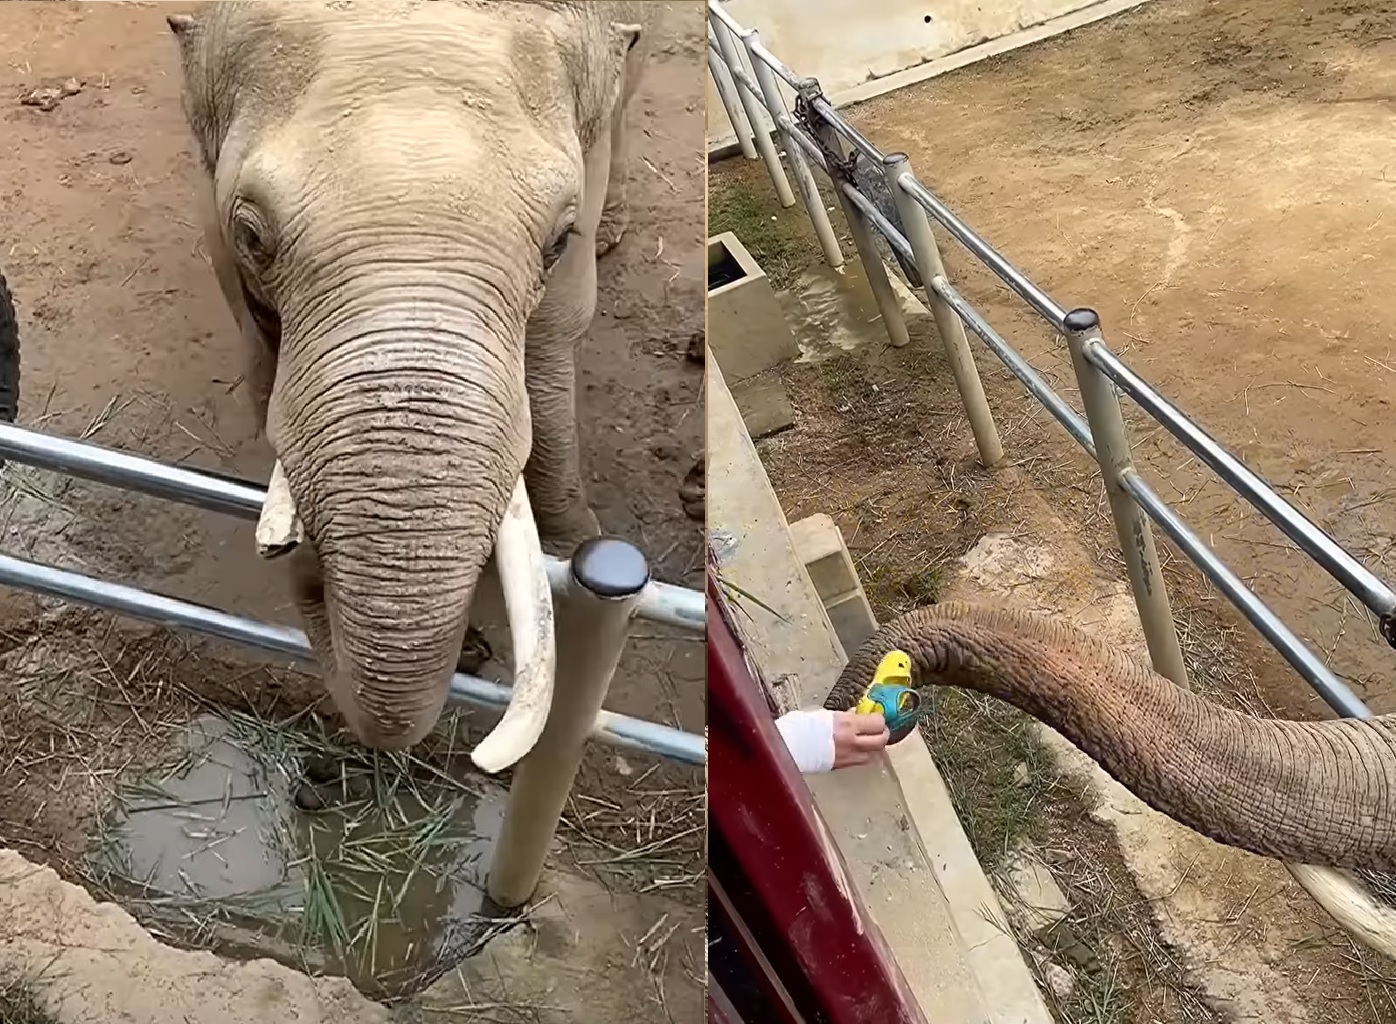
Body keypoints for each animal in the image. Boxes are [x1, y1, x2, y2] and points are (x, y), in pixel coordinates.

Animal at [164, 1, 656, 763]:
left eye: (557, 241)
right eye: (250, 236)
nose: (291, 552)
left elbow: (555, 334)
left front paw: (571, 544)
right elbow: (256, 344)